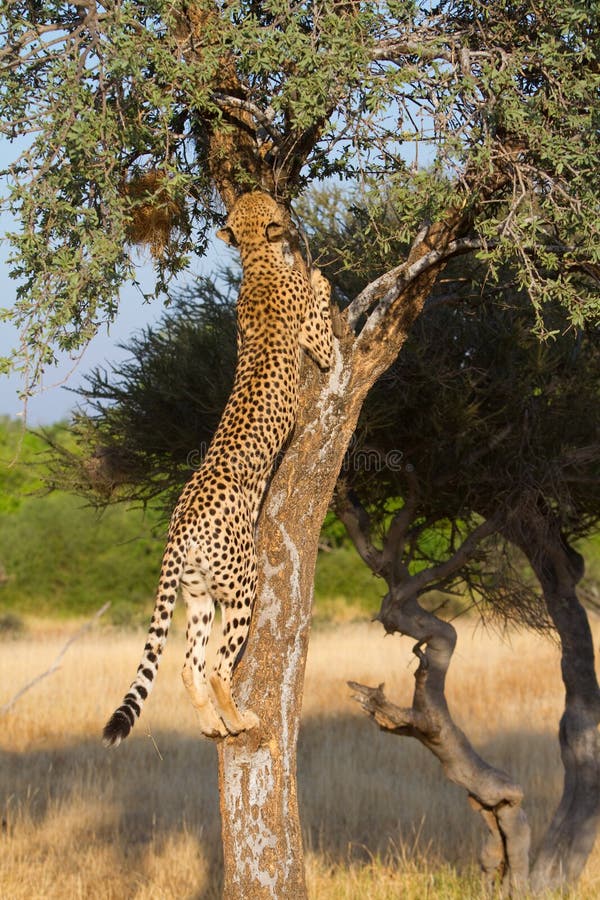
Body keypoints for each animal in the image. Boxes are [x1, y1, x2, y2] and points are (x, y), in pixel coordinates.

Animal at [103, 191, 333, 747]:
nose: (282, 203)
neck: (256, 260)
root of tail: (181, 523)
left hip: (199, 593)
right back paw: (240, 719)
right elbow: (323, 323)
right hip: (242, 582)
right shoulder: (317, 342)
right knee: (216, 667)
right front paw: (322, 277)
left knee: (188, 665)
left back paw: (212, 725)